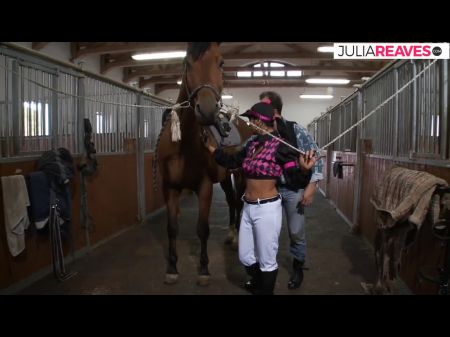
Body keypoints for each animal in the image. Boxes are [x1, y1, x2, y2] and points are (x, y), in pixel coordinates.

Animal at [155, 41, 253, 284]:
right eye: (187, 62)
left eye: (221, 62)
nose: (207, 110)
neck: (185, 145)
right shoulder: (170, 187)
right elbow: (172, 228)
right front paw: (172, 268)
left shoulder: (205, 186)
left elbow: (202, 229)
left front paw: (204, 269)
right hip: (225, 178)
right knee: (231, 201)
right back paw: (230, 235)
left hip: (240, 175)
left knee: (238, 203)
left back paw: (236, 239)